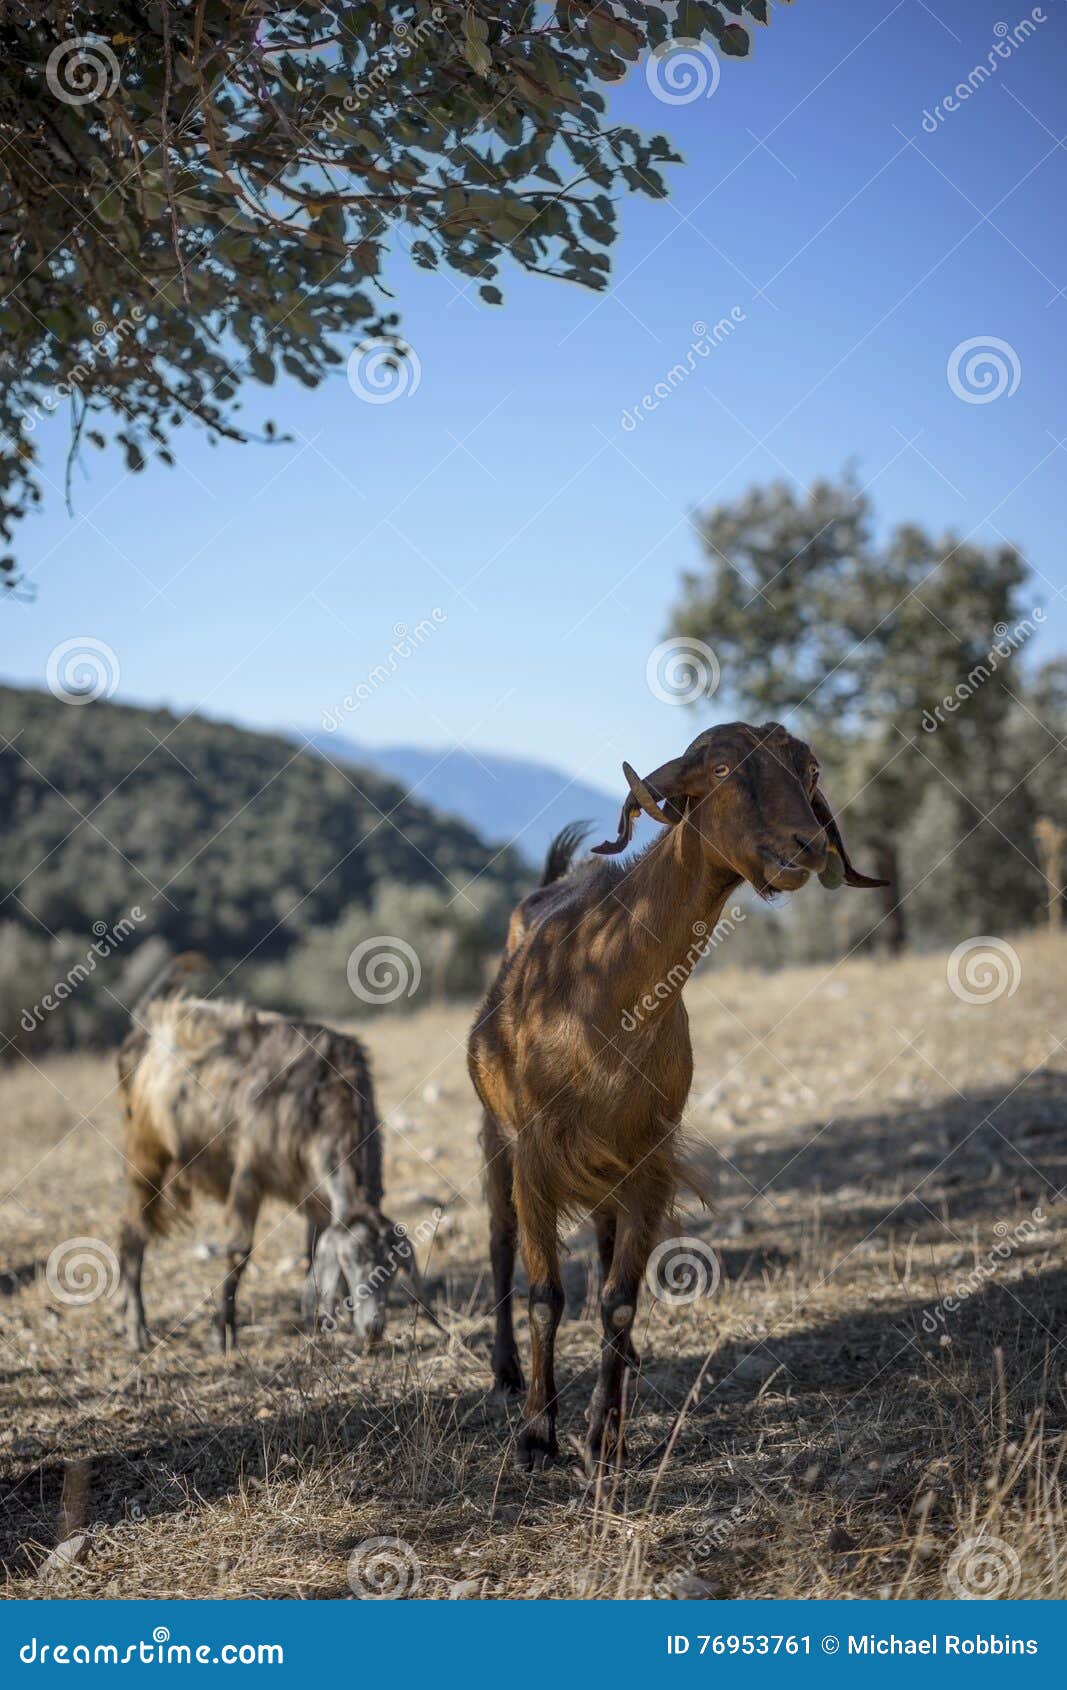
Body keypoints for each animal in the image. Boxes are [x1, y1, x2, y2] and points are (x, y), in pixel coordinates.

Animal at [116, 954, 412, 1352]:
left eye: (393, 1266)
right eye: (350, 1259)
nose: (374, 1328)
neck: (315, 1100)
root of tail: (149, 1021)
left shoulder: (316, 1195)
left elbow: (312, 1251)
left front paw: (319, 1315)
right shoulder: (248, 1178)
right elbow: (239, 1252)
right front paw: (221, 1330)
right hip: (145, 1158)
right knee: (133, 1232)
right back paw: (136, 1326)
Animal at [468, 721, 886, 1472]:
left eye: (809, 771)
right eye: (719, 770)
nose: (805, 845)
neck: (605, 992)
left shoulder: (648, 1158)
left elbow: (619, 1298)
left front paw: (605, 1435)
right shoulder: (537, 1153)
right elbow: (544, 1294)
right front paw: (537, 1435)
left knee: (604, 1249)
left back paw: (623, 1365)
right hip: (495, 1140)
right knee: (499, 1241)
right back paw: (506, 1373)